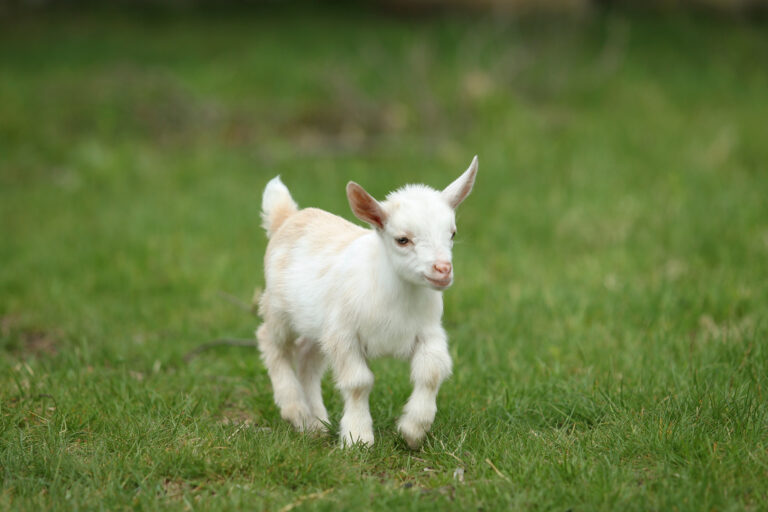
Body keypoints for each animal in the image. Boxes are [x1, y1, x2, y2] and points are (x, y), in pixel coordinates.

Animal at [256, 156, 478, 448]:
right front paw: (357, 438)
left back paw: (316, 423)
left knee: (307, 357)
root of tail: (288, 217)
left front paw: (413, 429)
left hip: (318, 325)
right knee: (271, 342)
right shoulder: (344, 335)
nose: (443, 269)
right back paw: (296, 411)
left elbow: (430, 373)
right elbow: (358, 383)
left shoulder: (429, 333)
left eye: (452, 233)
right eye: (402, 239)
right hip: (279, 309)